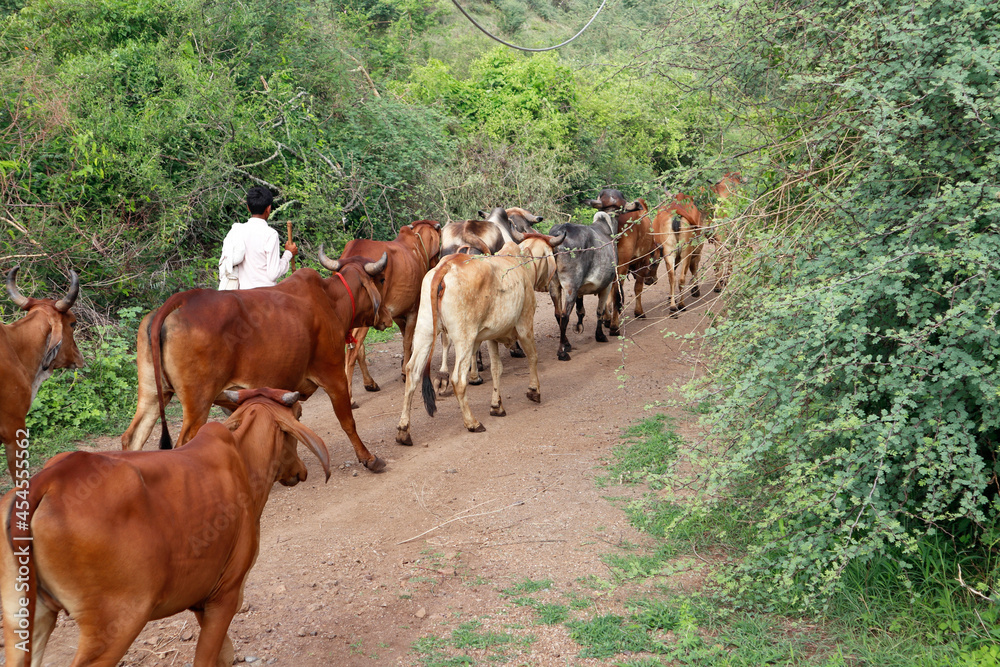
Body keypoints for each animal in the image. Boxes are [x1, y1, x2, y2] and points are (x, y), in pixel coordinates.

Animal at [0, 387, 331, 667]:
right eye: (299, 414)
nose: (300, 471)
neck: (242, 458)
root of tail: (47, 482)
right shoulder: (226, 595)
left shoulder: (203, 601)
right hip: (115, 626)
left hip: (24, 619)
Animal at [120, 253, 391, 472]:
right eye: (381, 280)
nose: (388, 316)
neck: (332, 301)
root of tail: (178, 301)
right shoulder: (333, 374)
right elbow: (347, 421)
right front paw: (369, 458)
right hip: (198, 402)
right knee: (184, 444)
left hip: (153, 394)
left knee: (132, 437)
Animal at [338, 220, 442, 407]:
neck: (417, 246)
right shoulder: (413, 310)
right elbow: (407, 341)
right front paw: (404, 372)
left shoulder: (397, 315)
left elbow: (405, 339)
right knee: (353, 350)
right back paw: (350, 397)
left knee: (358, 347)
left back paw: (370, 383)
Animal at [395, 233, 563, 445]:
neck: (520, 262)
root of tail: (446, 265)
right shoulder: (525, 325)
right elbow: (532, 357)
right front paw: (534, 391)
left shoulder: (491, 336)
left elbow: (496, 369)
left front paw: (496, 406)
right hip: (464, 338)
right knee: (458, 379)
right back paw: (472, 423)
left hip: (425, 331)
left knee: (412, 372)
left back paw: (403, 431)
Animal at [546, 211, 620, 361]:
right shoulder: (607, 285)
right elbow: (600, 311)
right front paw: (600, 335)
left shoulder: (580, 290)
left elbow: (581, 311)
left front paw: (580, 326)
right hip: (570, 286)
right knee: (564, 316)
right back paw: (562, 352)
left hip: (554, 285)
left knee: (558, 314)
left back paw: (567, 344)